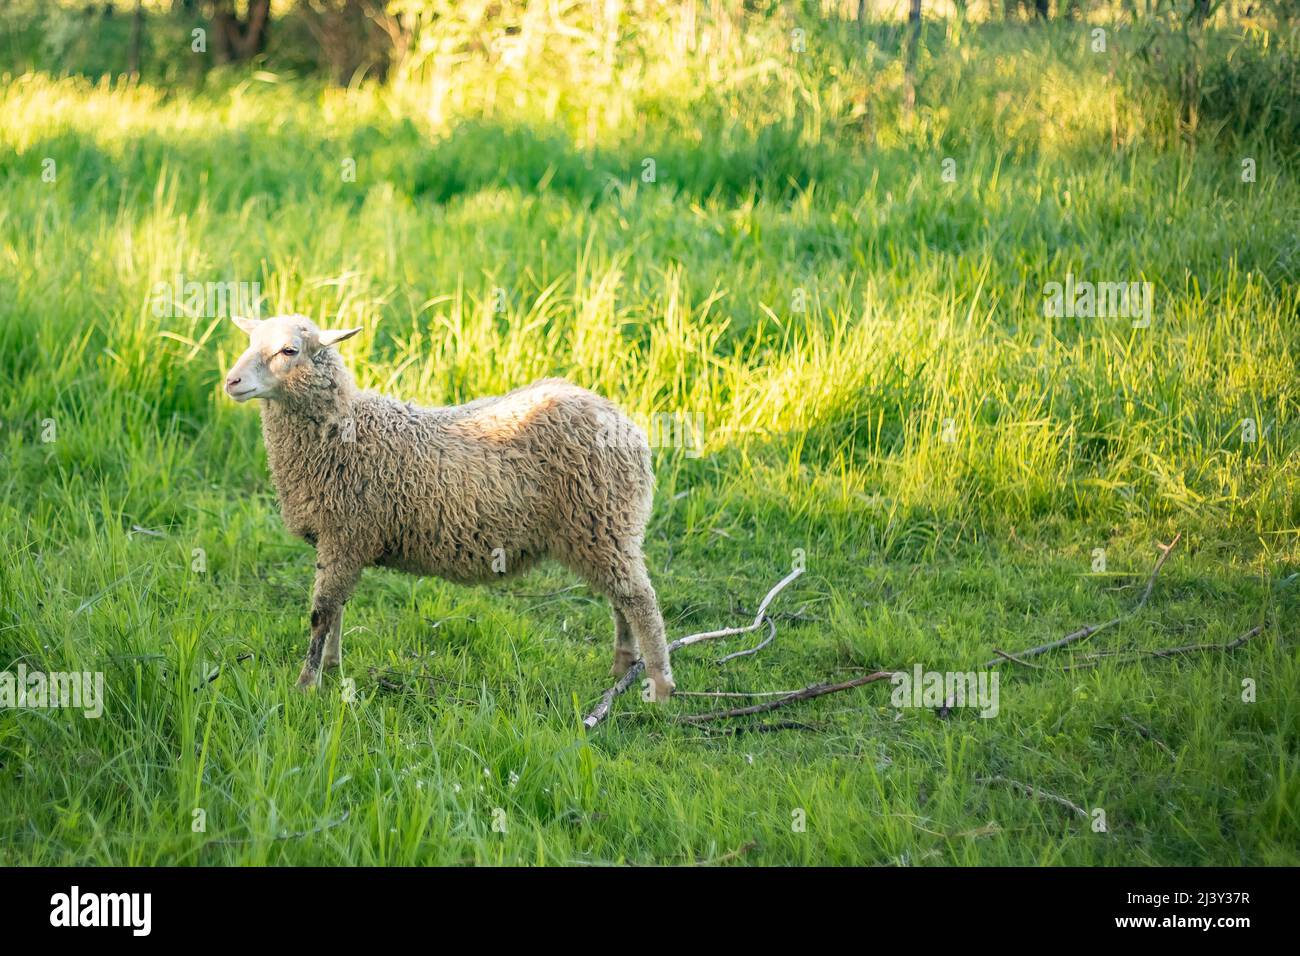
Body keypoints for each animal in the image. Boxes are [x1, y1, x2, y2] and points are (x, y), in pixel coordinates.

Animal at [223, 314, 676, 701]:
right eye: (250, 341)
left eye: (289, 350)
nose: (231, 381)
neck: (345, 432)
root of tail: (622, 421)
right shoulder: (339, 542)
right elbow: (336, 611)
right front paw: (332, 668)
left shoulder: (345, 535)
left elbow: (321, 613)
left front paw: (306, 684)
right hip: (602, 530)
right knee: (621, 599)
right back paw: (623, 666)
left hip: (604, 521)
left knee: (641, 602)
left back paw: (660, 685)